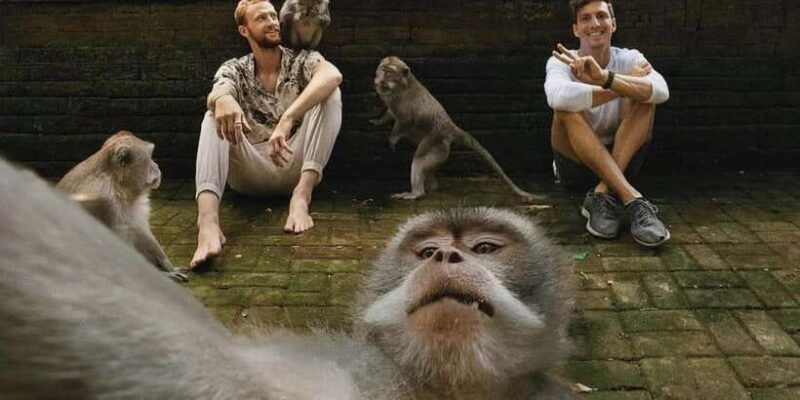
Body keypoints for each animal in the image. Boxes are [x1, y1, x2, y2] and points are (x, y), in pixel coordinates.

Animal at [56, 130, 188, 282]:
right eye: (149, 158)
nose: (157, 165)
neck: (117, 182)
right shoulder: (106, 202)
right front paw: (162, 274)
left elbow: (139, 228)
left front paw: (167, 266)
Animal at [371, 56, 546, 203]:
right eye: (382, 68)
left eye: (389, 72)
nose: (381, 78)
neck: (400, 85)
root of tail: (450, 127)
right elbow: (391, 113)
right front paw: (378, 121)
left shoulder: (403, 103)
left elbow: (405, 121)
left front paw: (393, 139)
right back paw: (431, 186)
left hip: (436, 142)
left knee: (419, 160)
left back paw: (417, 193)